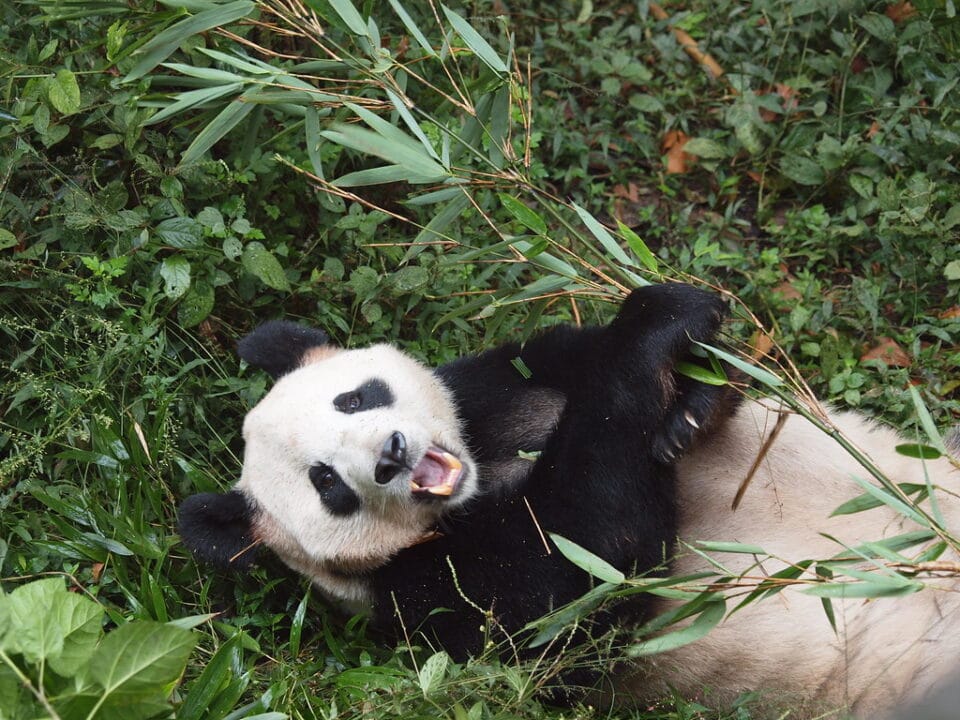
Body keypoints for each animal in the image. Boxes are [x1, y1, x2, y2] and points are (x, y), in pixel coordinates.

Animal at [179, 283, 731, 668]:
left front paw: (691, 396)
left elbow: (554, 358)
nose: (392, 454)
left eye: (352, 400)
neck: (476, 482)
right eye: (326, 482)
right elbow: (582, 558)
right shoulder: (421, 589)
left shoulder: (484, 392)